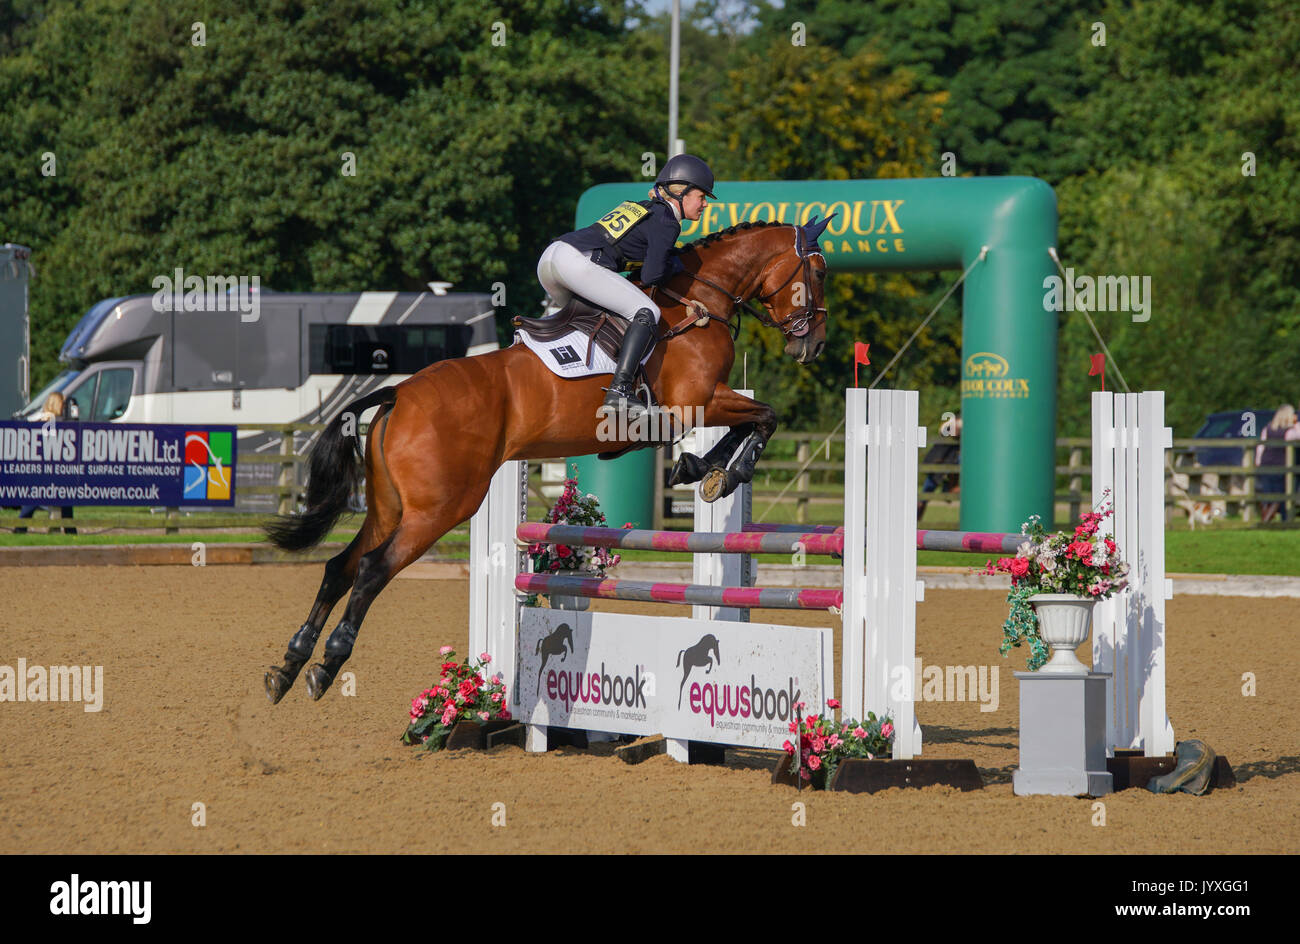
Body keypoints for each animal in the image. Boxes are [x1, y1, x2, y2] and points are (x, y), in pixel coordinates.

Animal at [263, 214, 832, 702]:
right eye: (821, 271)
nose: (813, 348)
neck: (697, 301)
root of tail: (398, 393)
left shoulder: (701, 404)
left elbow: (752, 420)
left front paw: (704, 471)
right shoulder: (693, 403)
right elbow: (764, 417)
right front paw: (720, 473)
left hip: (389, 507)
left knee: (340, 566)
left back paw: (288, 666)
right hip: (439, 509)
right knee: (371, 570)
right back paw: (326, 666)